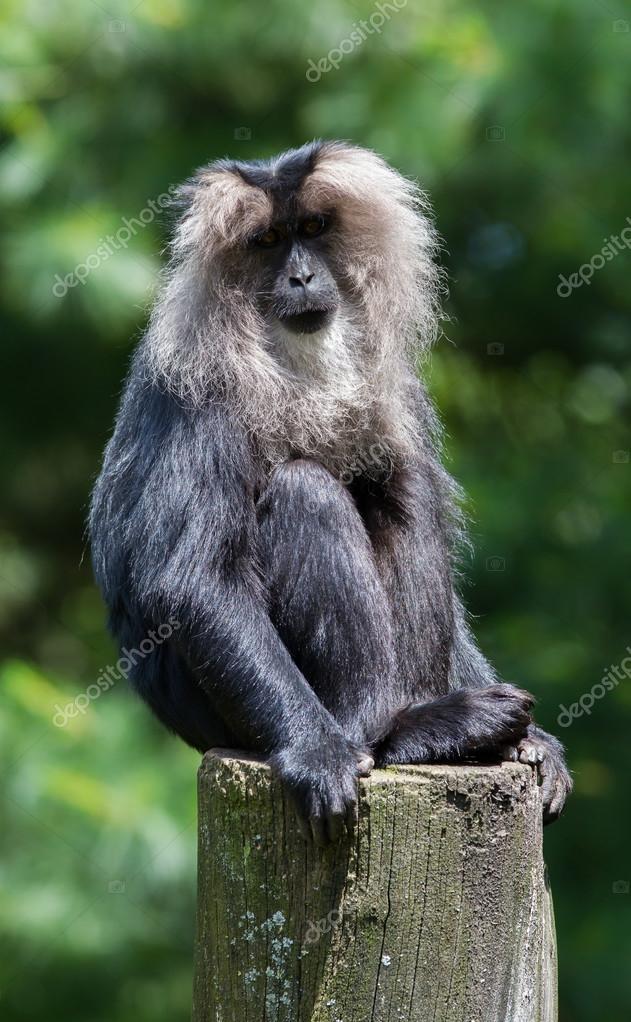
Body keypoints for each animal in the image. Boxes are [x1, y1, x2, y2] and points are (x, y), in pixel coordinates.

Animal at [90, 140, 571, 845]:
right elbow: (194, 579)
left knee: (401, 484)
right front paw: (315, 752)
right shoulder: (199, 385)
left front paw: (539, 743)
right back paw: (399, 732)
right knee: (304, 490)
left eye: (314, 229)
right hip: (209, 709)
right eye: (267, 240)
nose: (300, 277)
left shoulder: (399, 389)